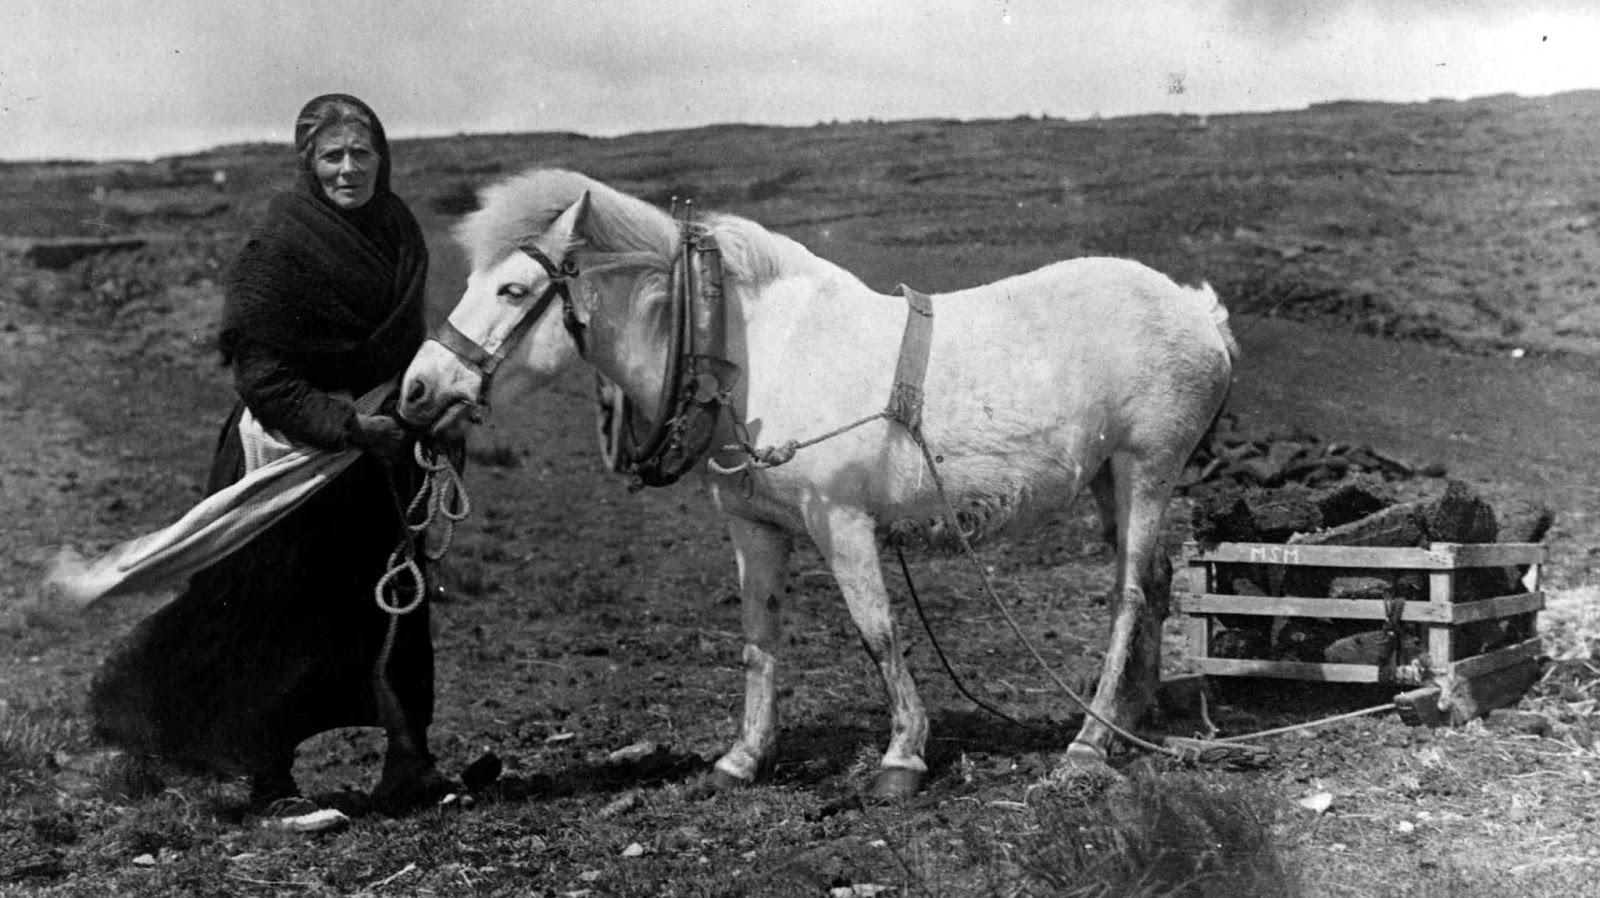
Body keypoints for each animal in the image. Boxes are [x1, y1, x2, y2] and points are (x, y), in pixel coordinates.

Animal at [398, 168, 1238, 798]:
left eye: (511, 291)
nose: (416, 389)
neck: (746, 351)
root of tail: (1200, 308)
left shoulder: (841, 520)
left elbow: (877, 631)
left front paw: (903, 756)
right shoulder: (754, 526)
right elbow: (759, 638)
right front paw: (744, 757)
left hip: (1146, 469)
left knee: (1130, 596)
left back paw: (1090, 742)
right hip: (1106, 480)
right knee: (1154, 583)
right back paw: (1129, 717)